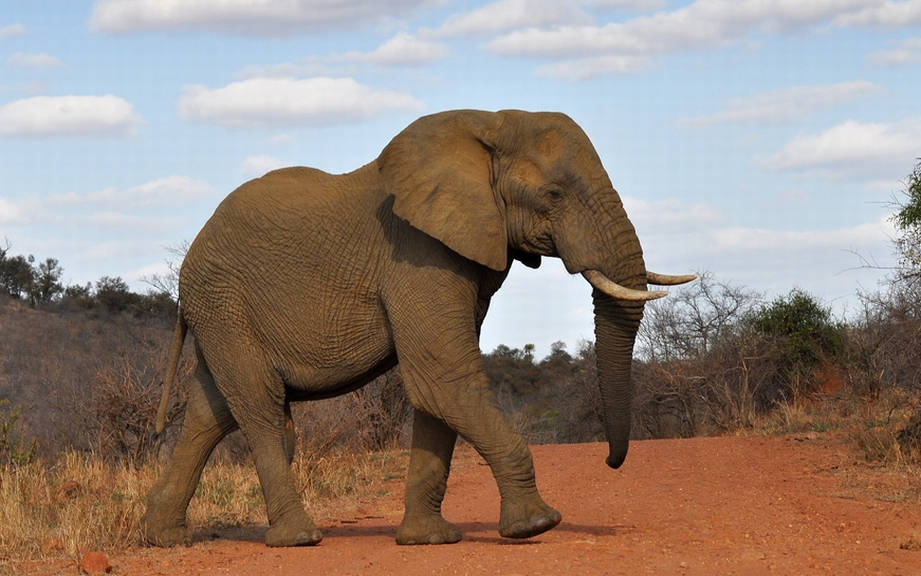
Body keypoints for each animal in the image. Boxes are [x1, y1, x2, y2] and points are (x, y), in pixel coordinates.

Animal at [141, 109, 695, 548]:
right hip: (224, 304)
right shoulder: (417, 252)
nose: (610, 463)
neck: (487, 125)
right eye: (554, 194)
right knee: (258, 406)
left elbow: (437, 390)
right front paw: (536, 526)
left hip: (220, 313)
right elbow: (442, 378)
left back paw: (163, 538)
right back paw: (299, 539)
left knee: (211, 412)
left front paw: (429, 540)